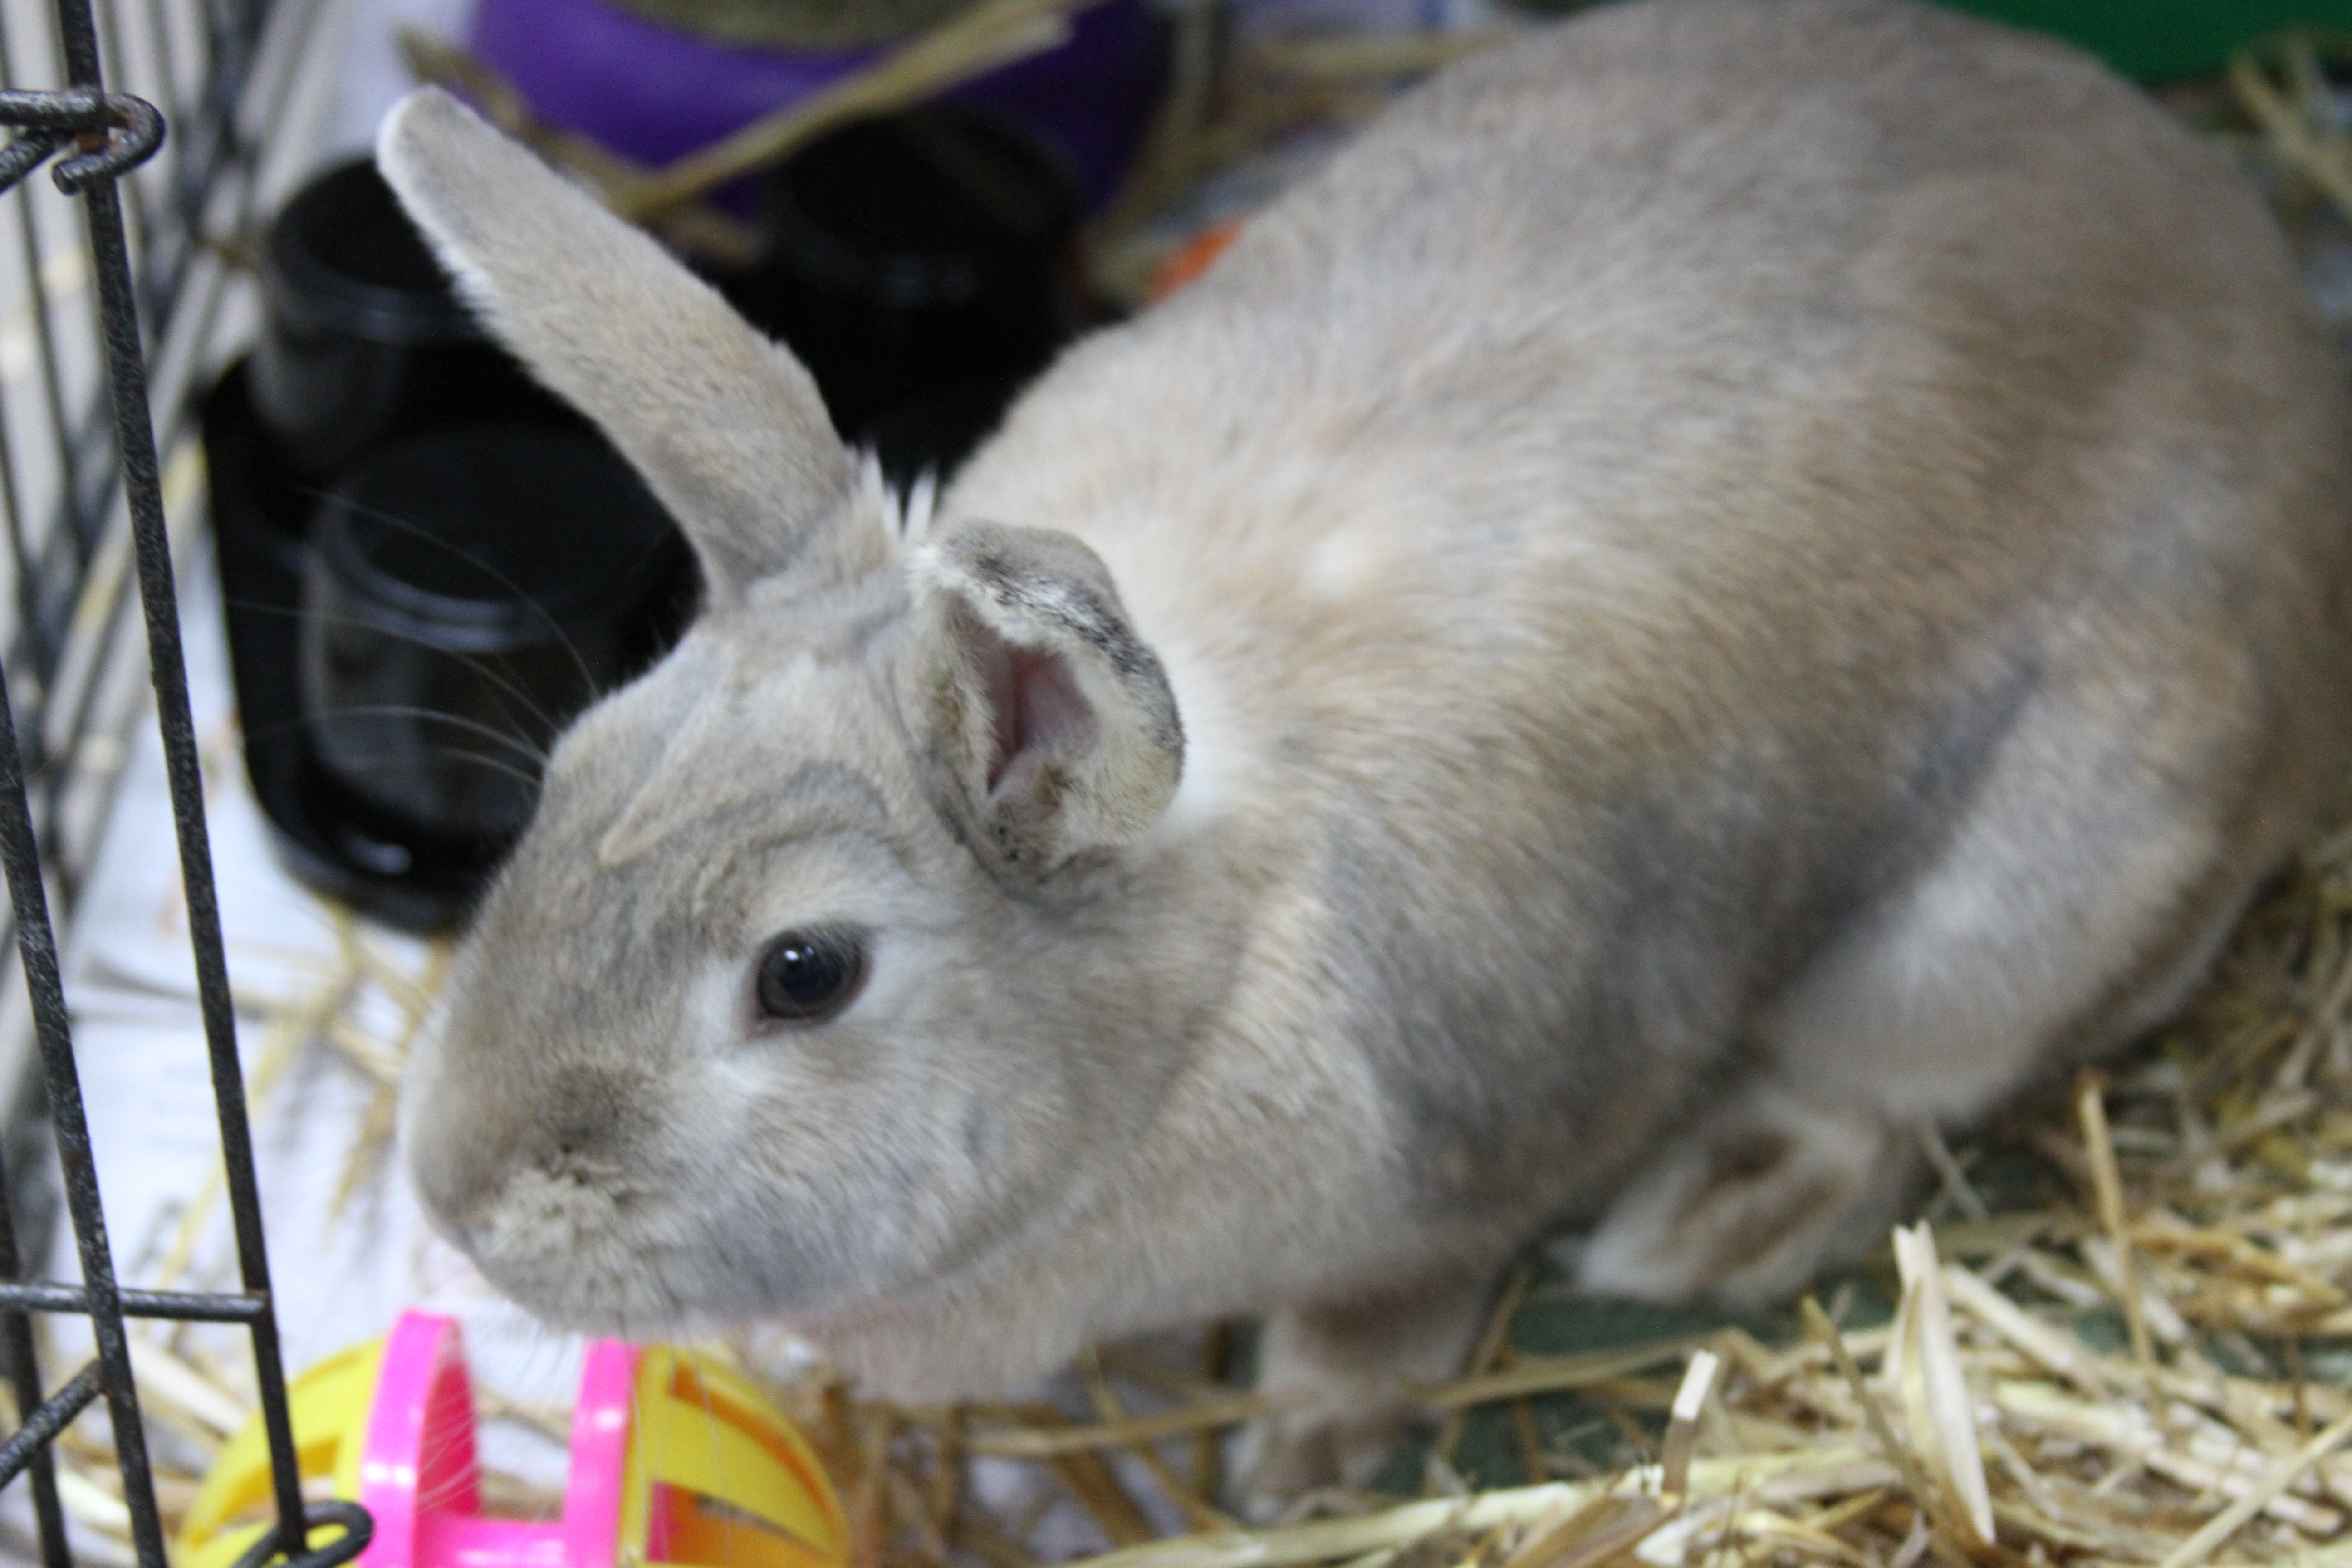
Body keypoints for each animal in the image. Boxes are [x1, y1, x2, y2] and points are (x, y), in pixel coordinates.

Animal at [384, 0, 2352, 1502]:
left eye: (805, 972)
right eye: (569, 776)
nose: (456, 1200)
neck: (1189, 974)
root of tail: (2266, 304)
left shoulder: (1497, 1128)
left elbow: (1389, 1311)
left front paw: (1300, 1459)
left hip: (2019, 903)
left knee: (1885, 1095)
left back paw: (1708, 1217)